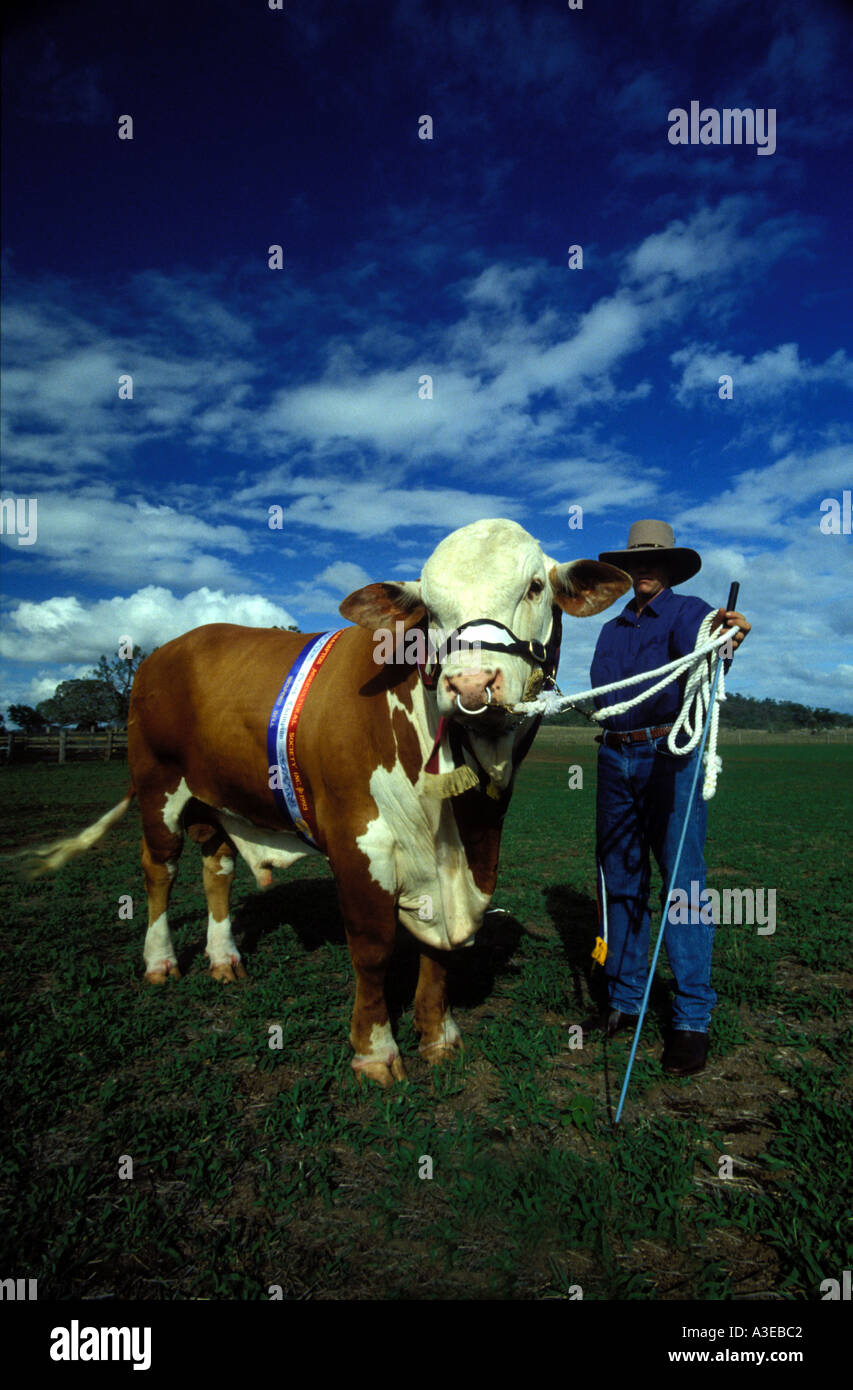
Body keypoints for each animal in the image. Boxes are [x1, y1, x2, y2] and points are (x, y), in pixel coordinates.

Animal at [24, 519, 630, 1085]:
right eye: (430, 608)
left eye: (534, 587)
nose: (470, 683)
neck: (461, 822)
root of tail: (169, 649)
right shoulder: (358, 840)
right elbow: (373, 947)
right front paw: (375, 1051)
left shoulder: (465, 861)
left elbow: (439, 950)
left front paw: (438, 1035)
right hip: (159, 786)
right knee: (159, 870)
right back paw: (160, 962)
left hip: (216, 797)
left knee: (216, 868)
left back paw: (223, 958)